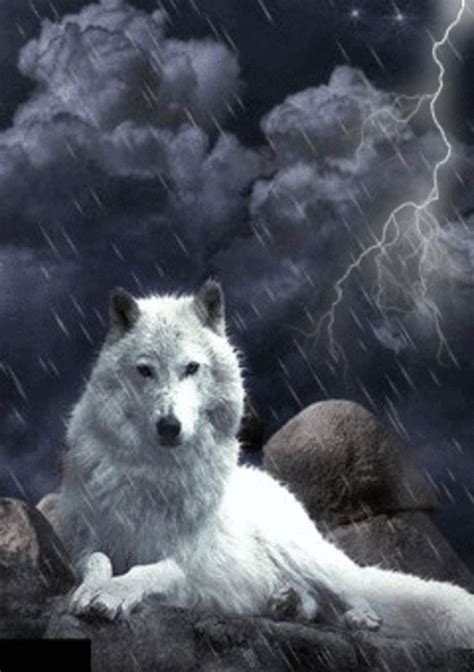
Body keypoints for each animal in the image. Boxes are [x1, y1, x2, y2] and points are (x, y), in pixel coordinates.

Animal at [56, 280, 474, 647]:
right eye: (145, 370)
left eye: (191, 367)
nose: (169, 426)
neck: (154, 473)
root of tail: (274, 484)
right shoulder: (87, 540)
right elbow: (96, 561)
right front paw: (89, 591)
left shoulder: (190, 563)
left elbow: (150, 570)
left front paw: (112, 595)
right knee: (314, 603)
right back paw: (286, 603)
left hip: (301, 552)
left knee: (348, 590)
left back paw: (359, 616)